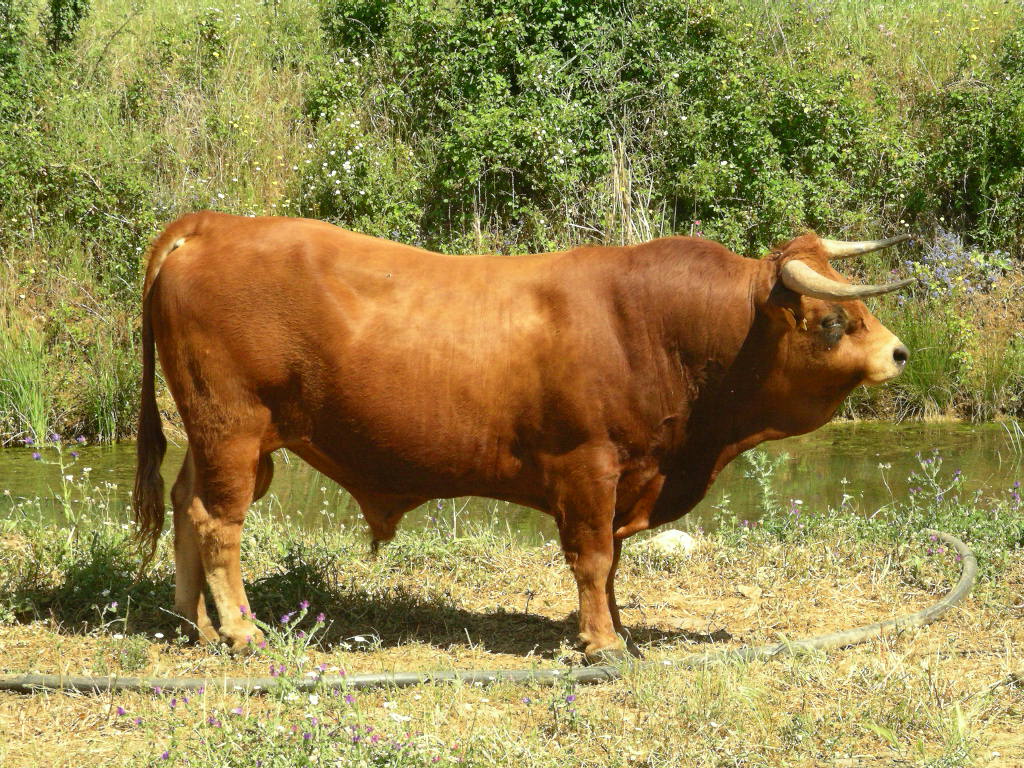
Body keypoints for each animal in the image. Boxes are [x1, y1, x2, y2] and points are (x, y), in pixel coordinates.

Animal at [133, 211, 913, 661]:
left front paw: (612, 627)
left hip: (219, 435)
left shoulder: (625, 475)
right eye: (832, 321)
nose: (900, 353)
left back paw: (193, 624)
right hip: (233, 429)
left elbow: (611, 566)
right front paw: (601, 644)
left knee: (184, 504)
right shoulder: (587, 466)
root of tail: (212, 224)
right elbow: (593, 559)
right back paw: (241, 631)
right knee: (218, 522)